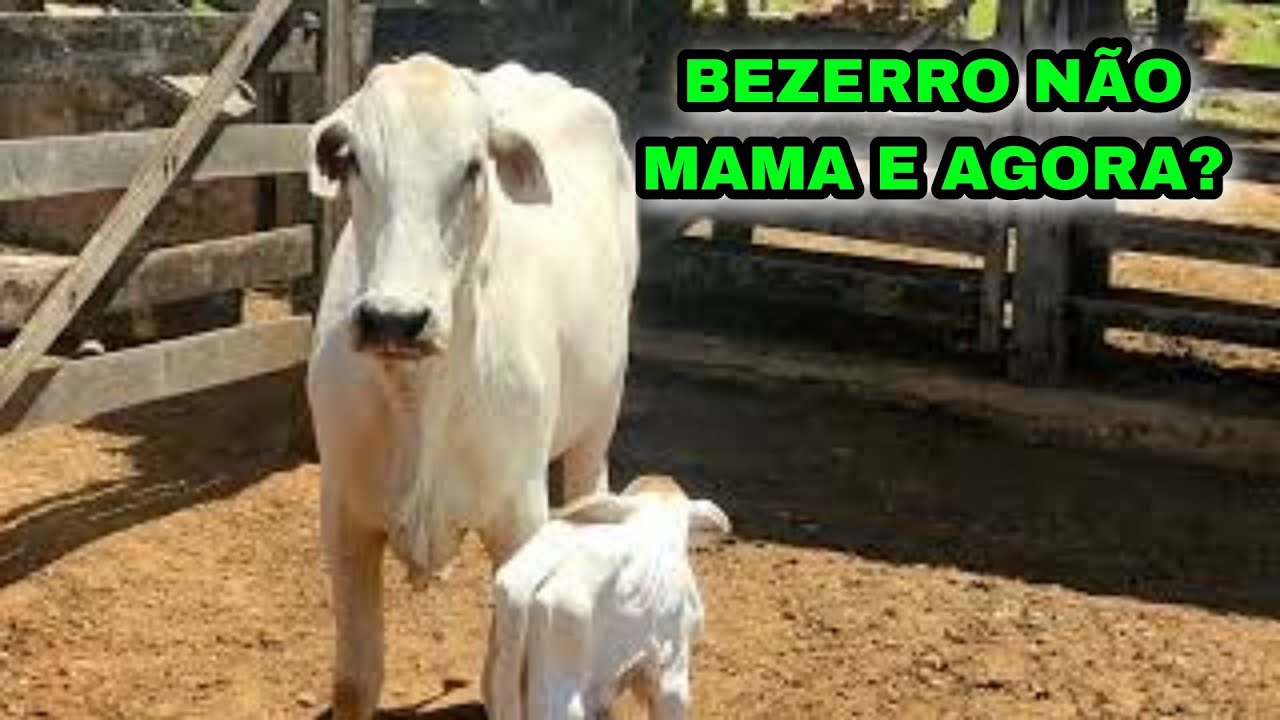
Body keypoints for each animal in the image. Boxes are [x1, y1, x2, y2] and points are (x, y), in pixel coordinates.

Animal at [305, 55, 639, 719]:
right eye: (353, 159)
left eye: (473, 167)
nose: (394, 319)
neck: (419, 397)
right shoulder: (344, 515)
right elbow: (356, 679)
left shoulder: (518, 516)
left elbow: (508, 685)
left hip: (604, 404)